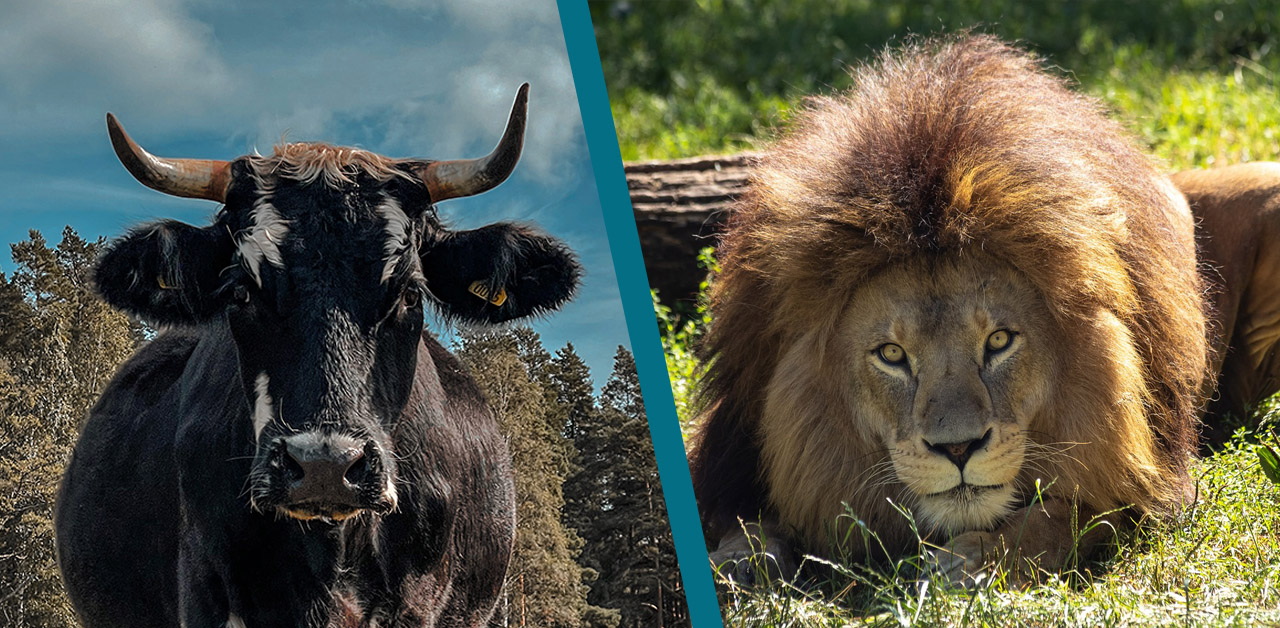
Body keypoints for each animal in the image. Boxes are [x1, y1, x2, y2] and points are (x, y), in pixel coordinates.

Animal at [689, 35, 1212, 583]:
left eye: (999, 341)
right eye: (892, 354)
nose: (957, 449)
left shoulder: (1148, 484)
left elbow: (1060, 517)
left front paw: (971, 560)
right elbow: (746, 519)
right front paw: (741, 559)